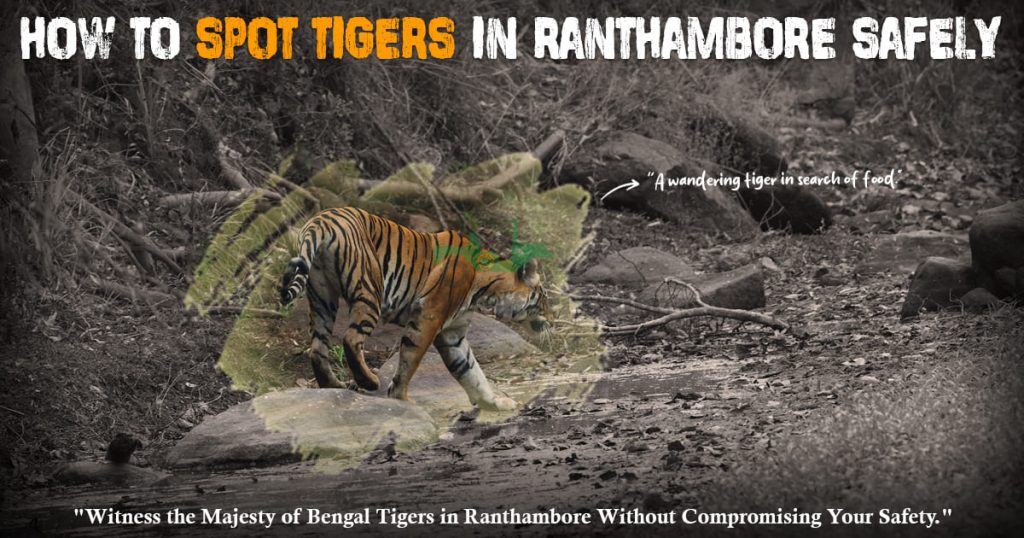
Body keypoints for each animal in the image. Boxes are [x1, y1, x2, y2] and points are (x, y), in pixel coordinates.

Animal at [280, 207, 547, 411]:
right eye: (542, 300)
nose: (548, 323)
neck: (483, 289)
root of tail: (319, 221)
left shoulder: (453, 334)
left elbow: (471, 371)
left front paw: (495, 403)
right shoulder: (429, 316)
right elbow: (410, 359)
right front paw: (400, 398)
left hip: (323, 299)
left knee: (317, 348)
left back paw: (334, 386)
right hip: (369, 289)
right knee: (351, 338)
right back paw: (369, 381)